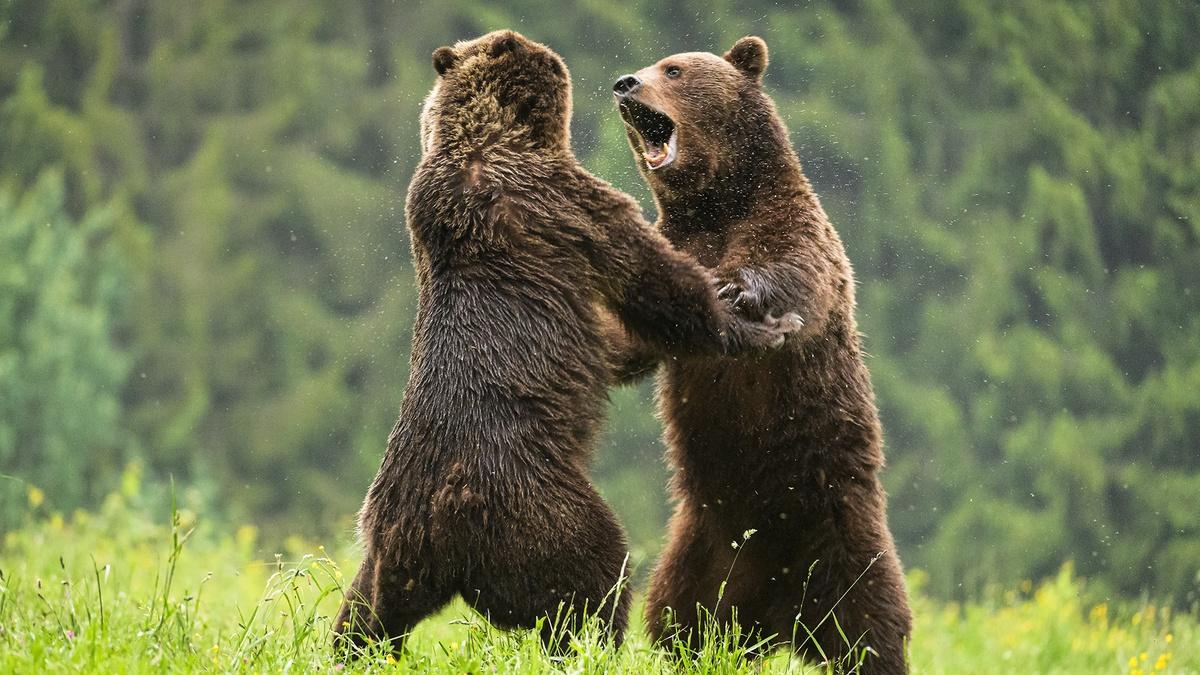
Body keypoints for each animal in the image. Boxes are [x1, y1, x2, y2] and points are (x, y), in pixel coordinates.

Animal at [332, 30, 799, 656]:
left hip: (383, 545)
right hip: (535, 508)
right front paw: (758, 323)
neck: (482, 141)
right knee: (595, 575)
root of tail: (432, 531)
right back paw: (597, 639)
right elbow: (651, 279)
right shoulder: (567, 202)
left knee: (365, 613)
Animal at [612, 36, 913, 672]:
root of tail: (779, 620)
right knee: (678, 616)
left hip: (842, 531)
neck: (716, 203)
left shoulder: (787, 223)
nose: (625, 84)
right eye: (654, 67)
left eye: (673, 69)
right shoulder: (672, 244)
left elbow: (793, 268)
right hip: (705, 548)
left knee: (871, 624)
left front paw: (740, 291)